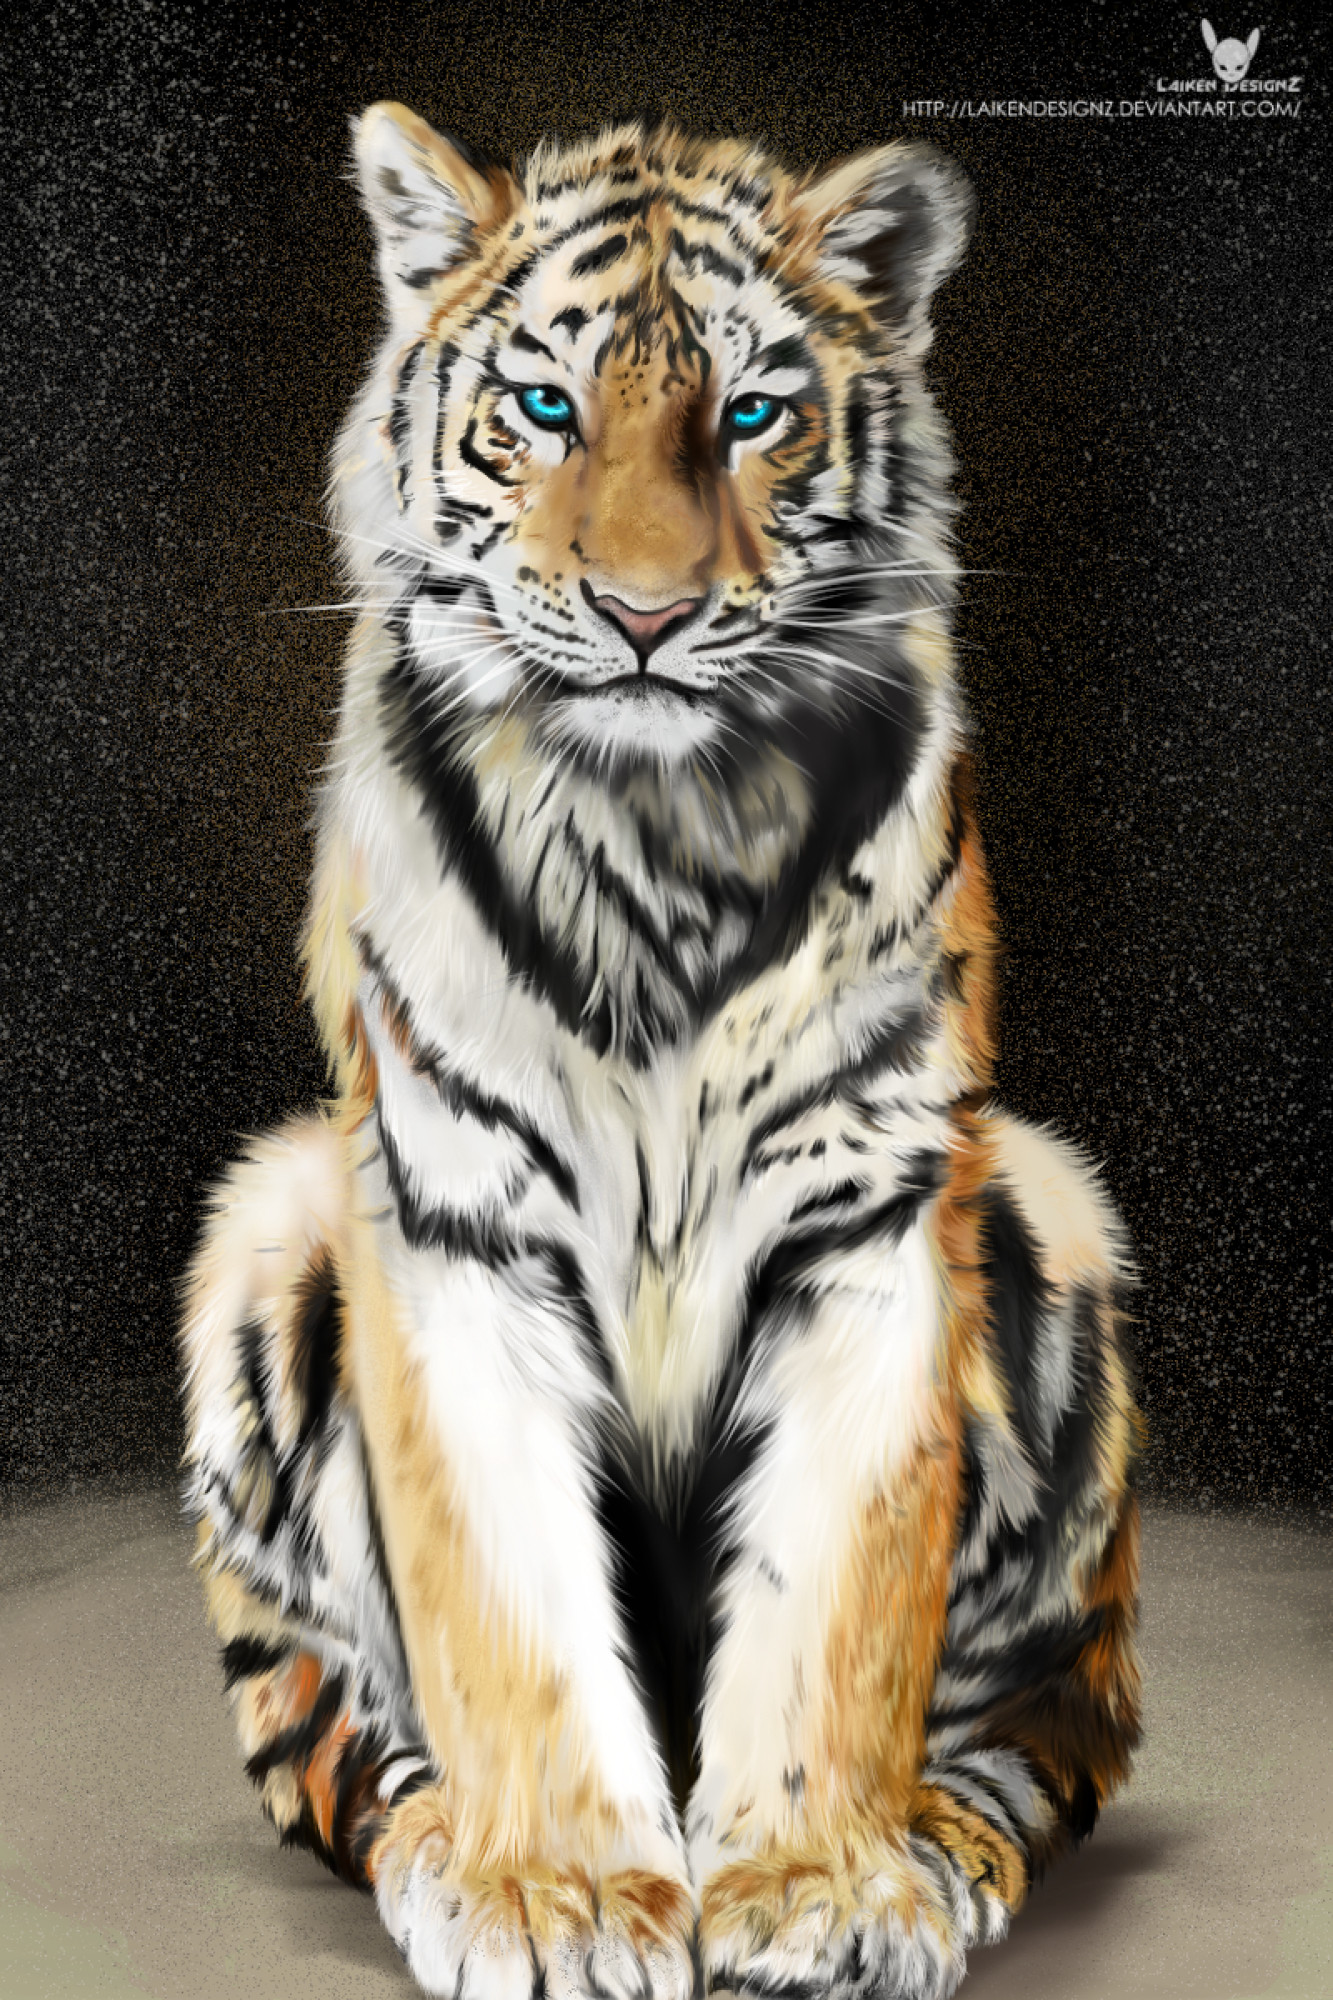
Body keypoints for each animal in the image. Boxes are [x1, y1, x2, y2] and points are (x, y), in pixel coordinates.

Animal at [179, 102, 1143, 2000]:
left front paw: (823, 1890)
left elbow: (840, 1607)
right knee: (324, 1738)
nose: (639, 615)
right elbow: (507, 1611)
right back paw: (436, 1851)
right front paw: (549, 1899)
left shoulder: (869, 1219)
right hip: (272, 1215)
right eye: (545, 407)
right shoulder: (454, 1222)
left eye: (752, 415)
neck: (654, 837)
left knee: (1062, 1719)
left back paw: (945, 1848)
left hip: (1045, 1206)